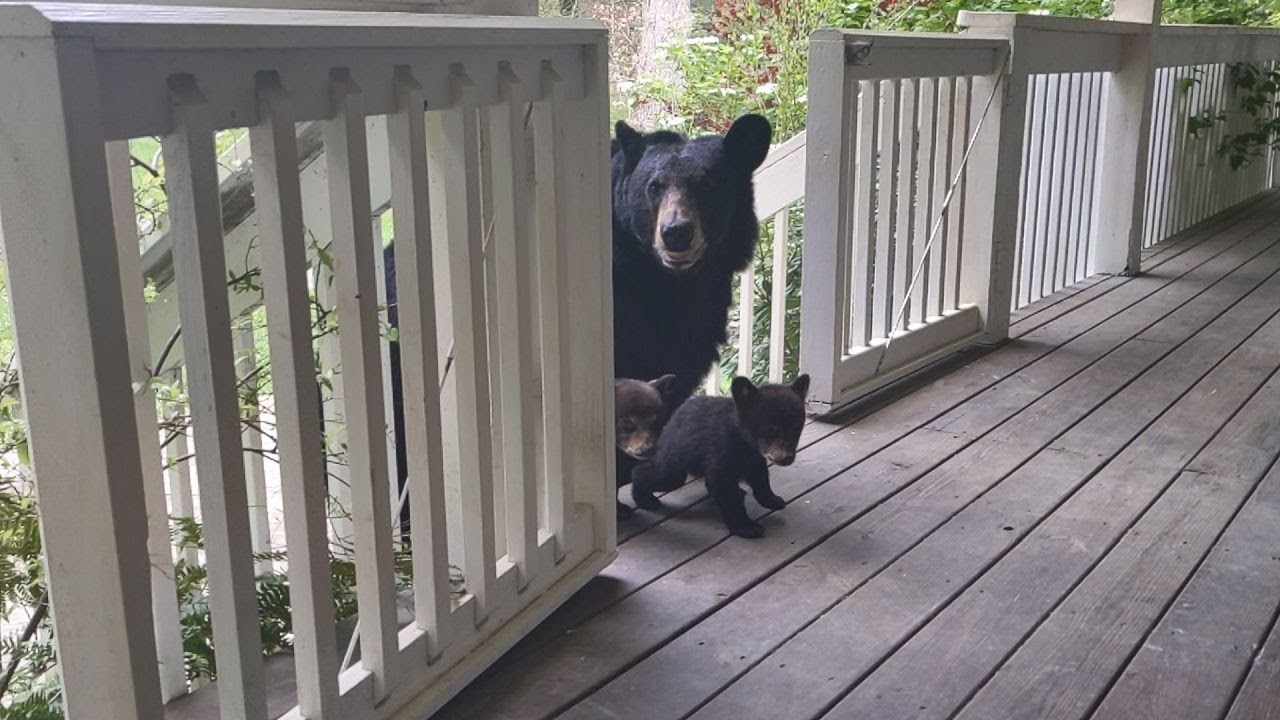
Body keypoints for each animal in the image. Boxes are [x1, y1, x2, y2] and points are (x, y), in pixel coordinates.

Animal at [630, 374, 810, 539]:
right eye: (770, 429)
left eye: (796, 427)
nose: (786, 458)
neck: (743, 440)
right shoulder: (720, 450)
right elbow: (723, 487)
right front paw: (745, 526)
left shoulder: (754, 457)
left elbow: (760, 477)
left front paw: (771, 499)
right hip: (675, 456)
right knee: (660, 475)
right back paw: (644, 498)